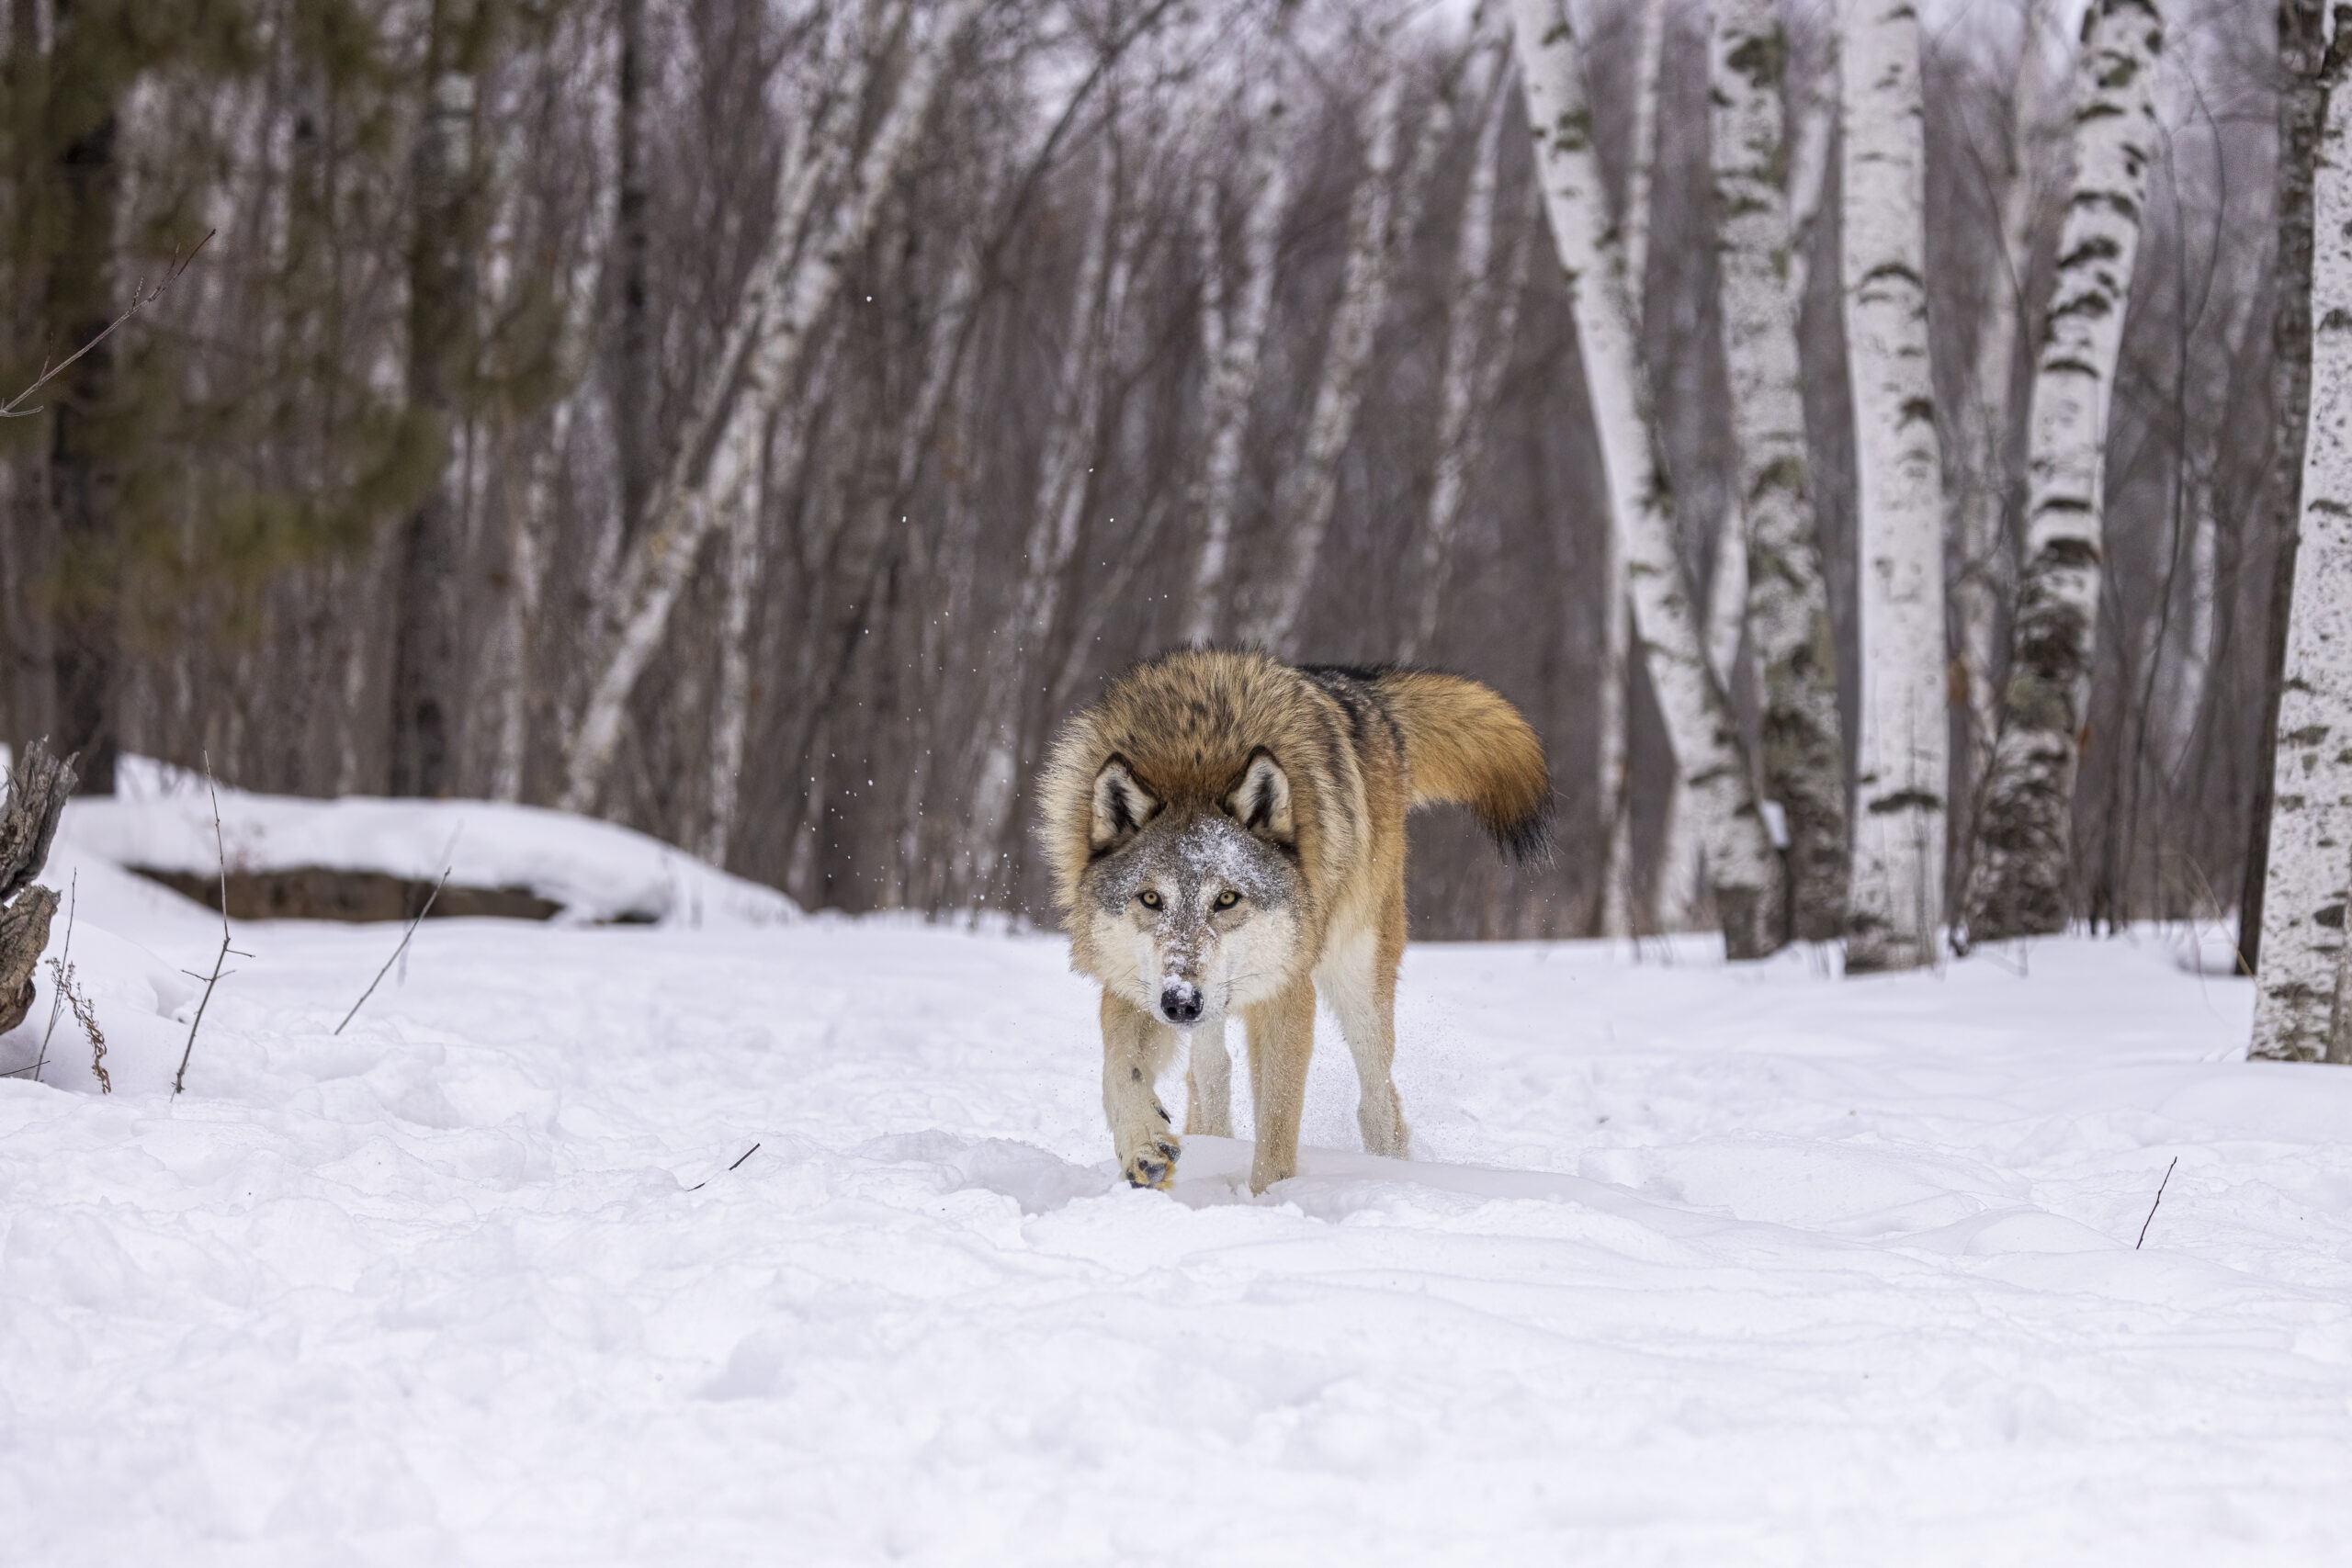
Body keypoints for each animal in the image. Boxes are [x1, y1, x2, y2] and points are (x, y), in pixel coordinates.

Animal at [1037, 648, 1551, 1194]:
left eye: (1227, 898)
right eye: (1151, 898)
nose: (1181, 1003)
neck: (1194, 759)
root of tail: (1361, 689)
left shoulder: (1287, 991)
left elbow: (1279, 1116)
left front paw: (1271, 1198)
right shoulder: (1135, 984)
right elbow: (1121, 1072)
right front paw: (1143, 1146)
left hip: (1358, 984)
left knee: (1379, 1101)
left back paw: (1391, 1167)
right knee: (1211, 1070)